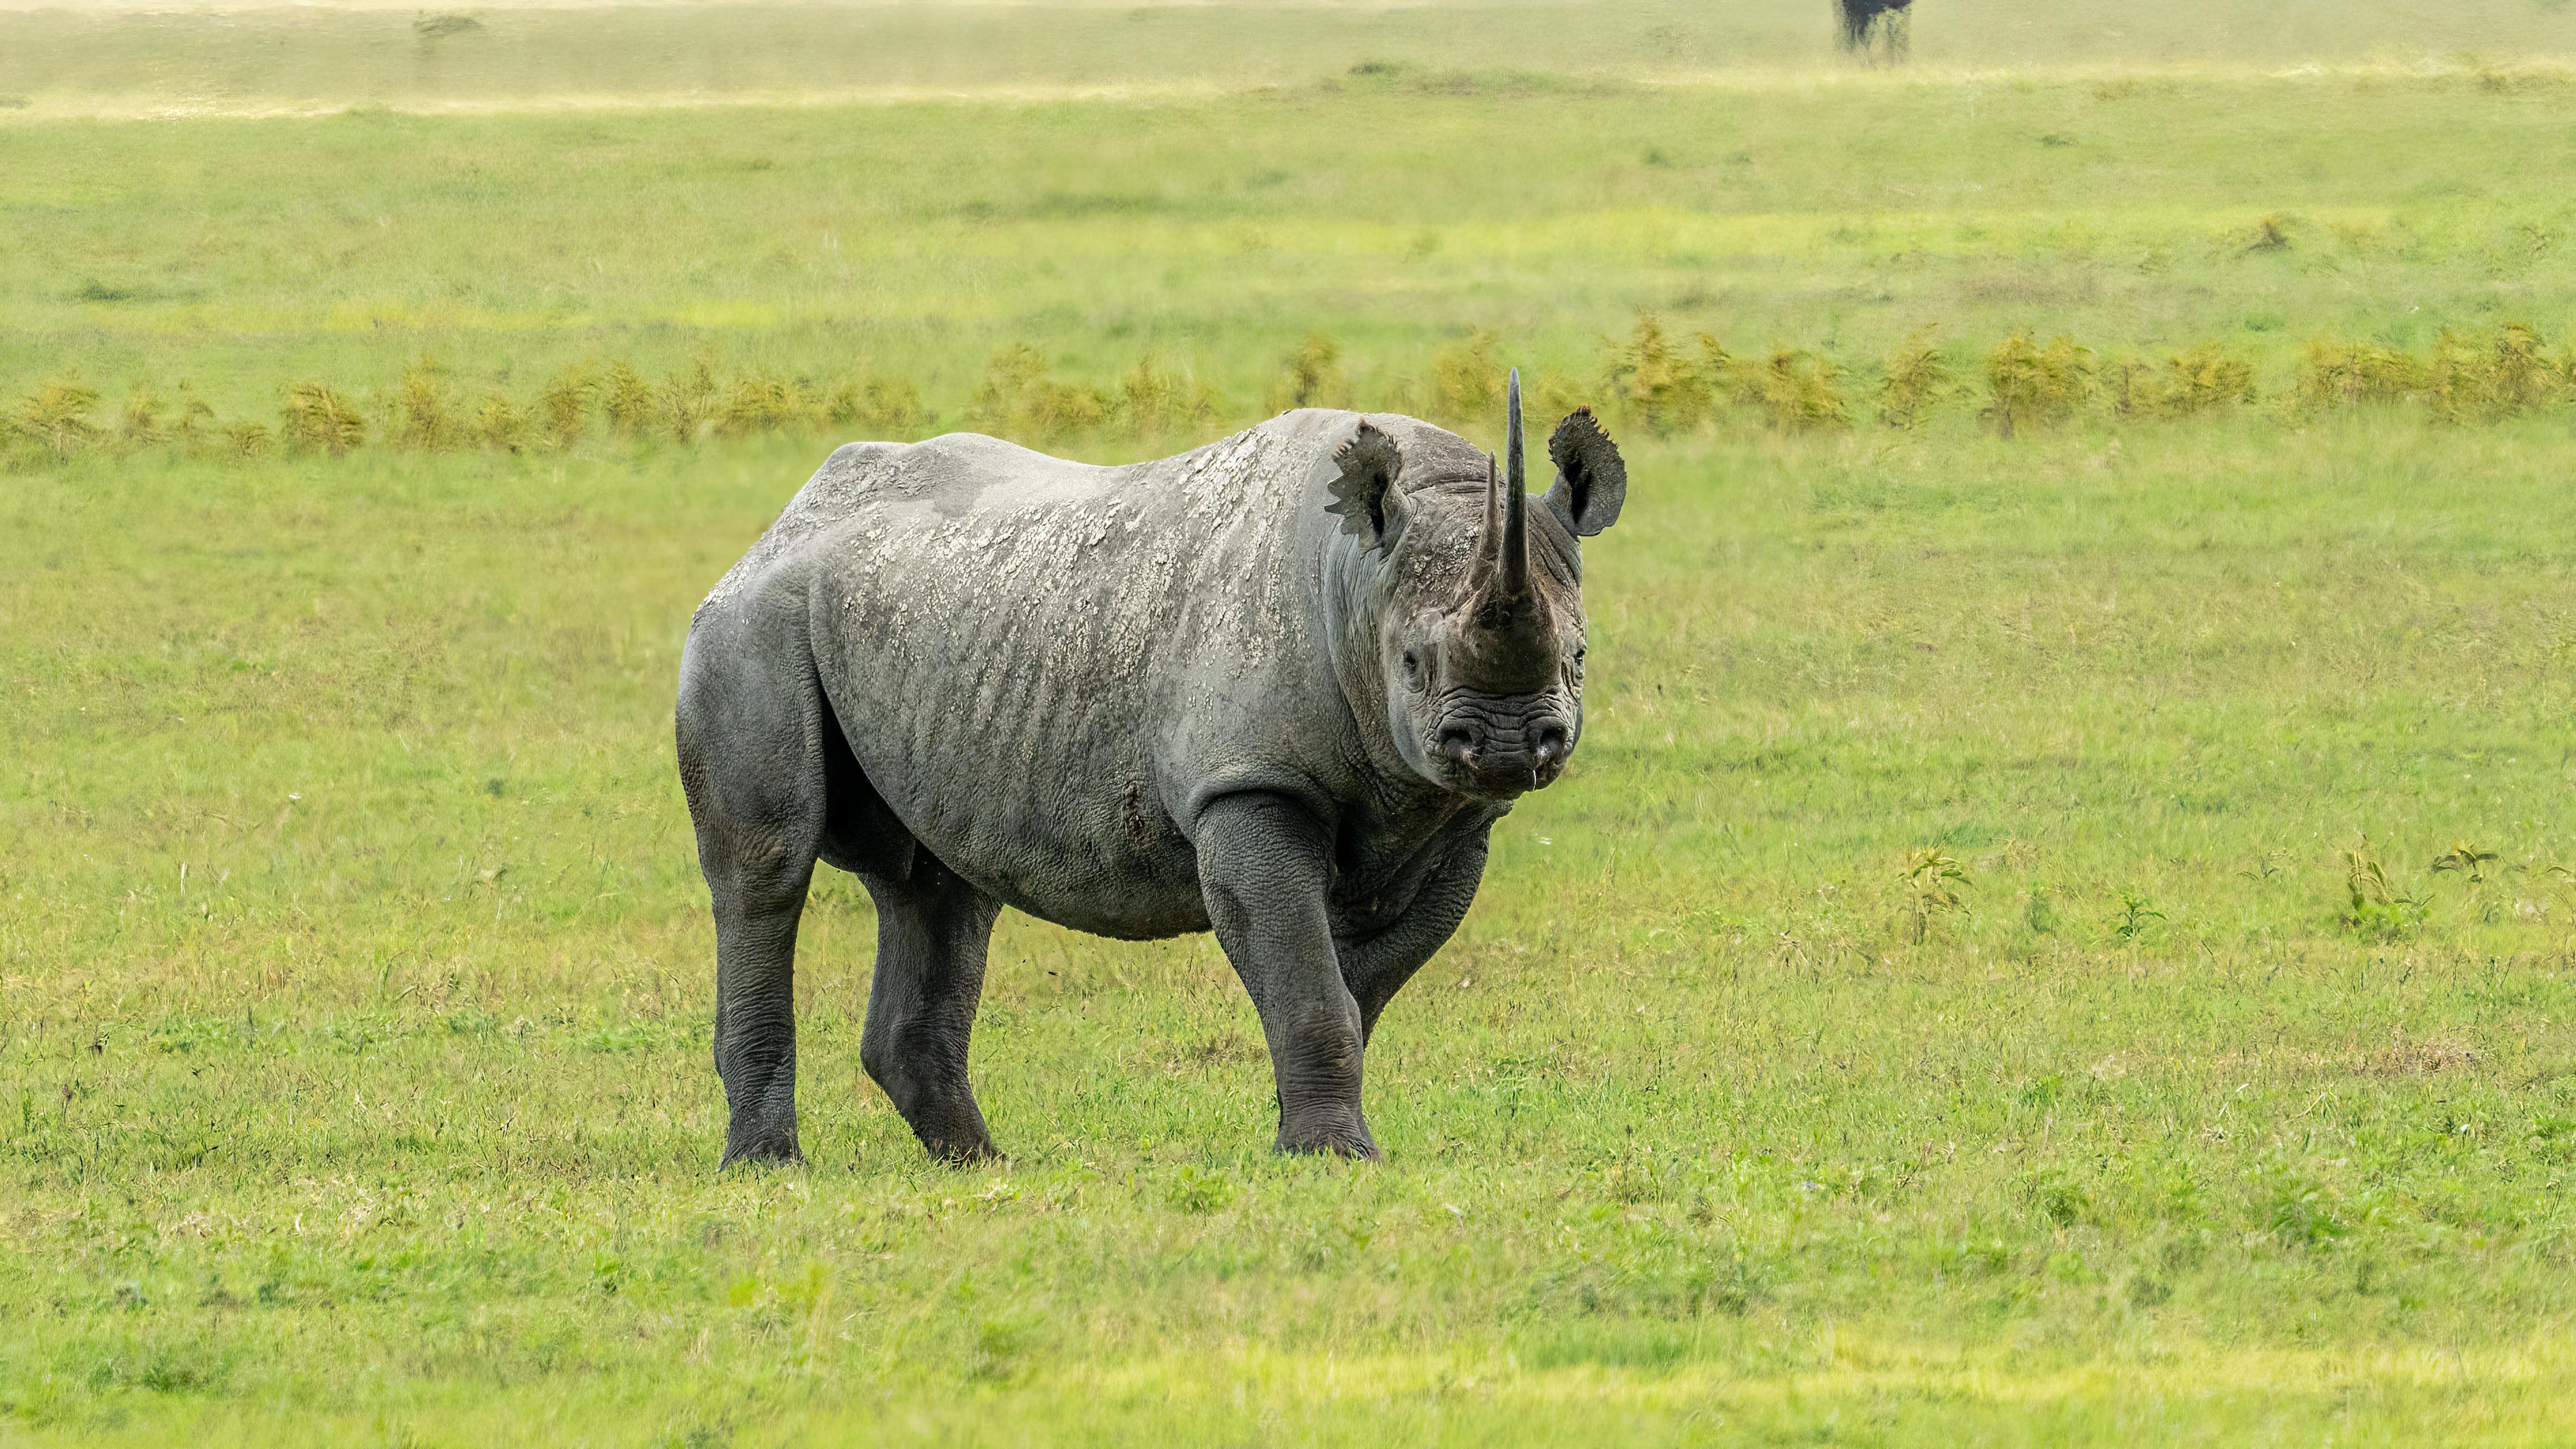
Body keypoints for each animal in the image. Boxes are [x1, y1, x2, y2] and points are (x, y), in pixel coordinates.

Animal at [675, 372, 1627, 1166]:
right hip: (752, 620)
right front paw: (1333, 1158)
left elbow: (1350, 991)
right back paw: (770, 1168)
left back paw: (977, 1165)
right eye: (1413, 664)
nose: (1507, 747)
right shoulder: (1247, 783)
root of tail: (786, 519)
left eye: (1579, 658)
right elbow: (1309, 984)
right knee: (768, 868)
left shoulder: (1454, 820)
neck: (1357, 577)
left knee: (939, 884)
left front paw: (1307, 1142)